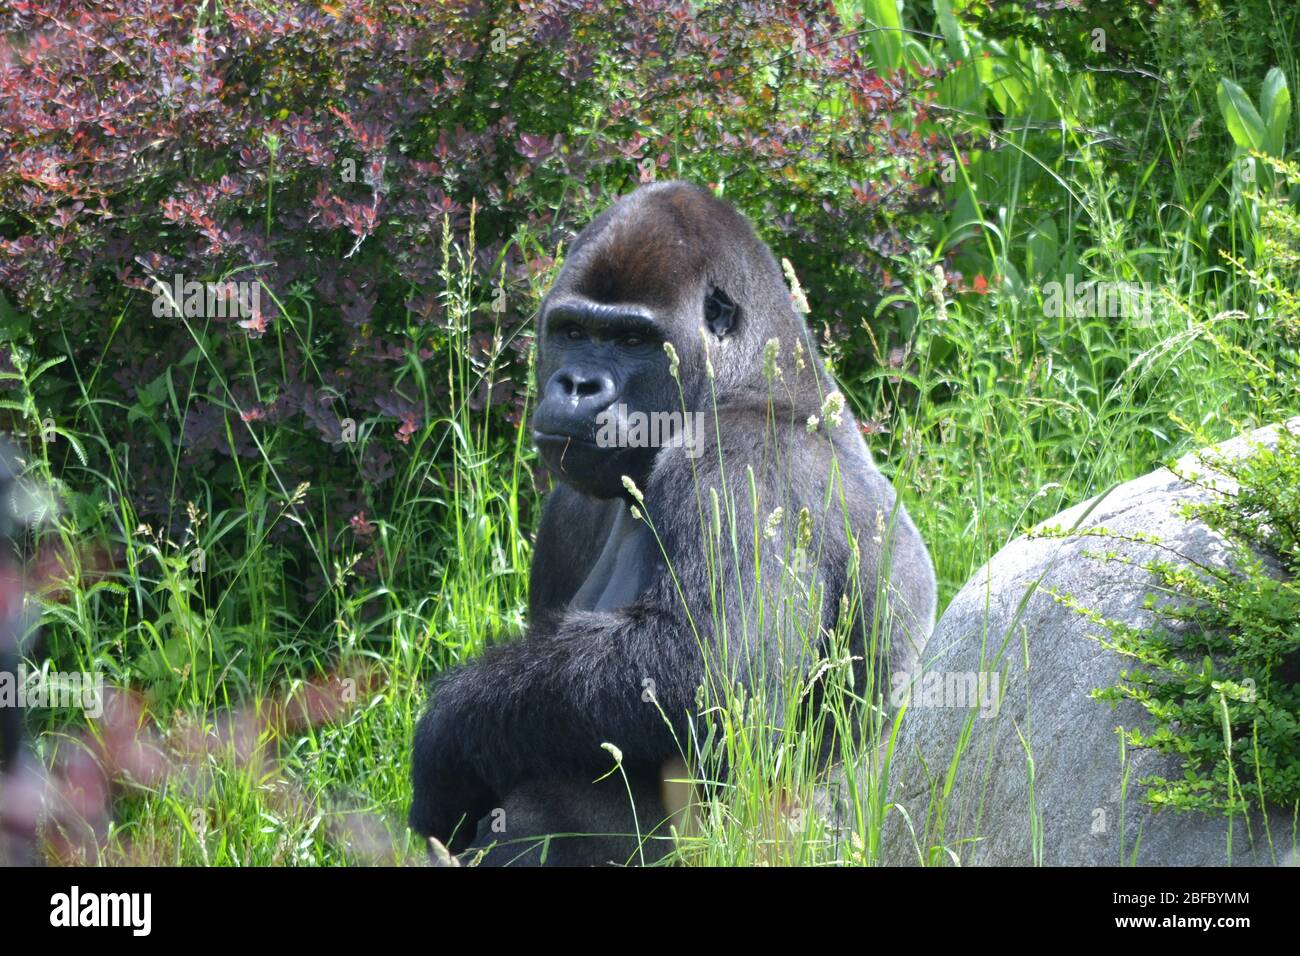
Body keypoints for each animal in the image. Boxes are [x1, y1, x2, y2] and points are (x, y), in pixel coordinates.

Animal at [410, 181, 936, 865]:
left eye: (633, 341)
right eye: (572, 330)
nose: (577, 385)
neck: (753, 378)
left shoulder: (741, 458)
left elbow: (705, 675)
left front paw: (447, 737)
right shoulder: (570, 502)